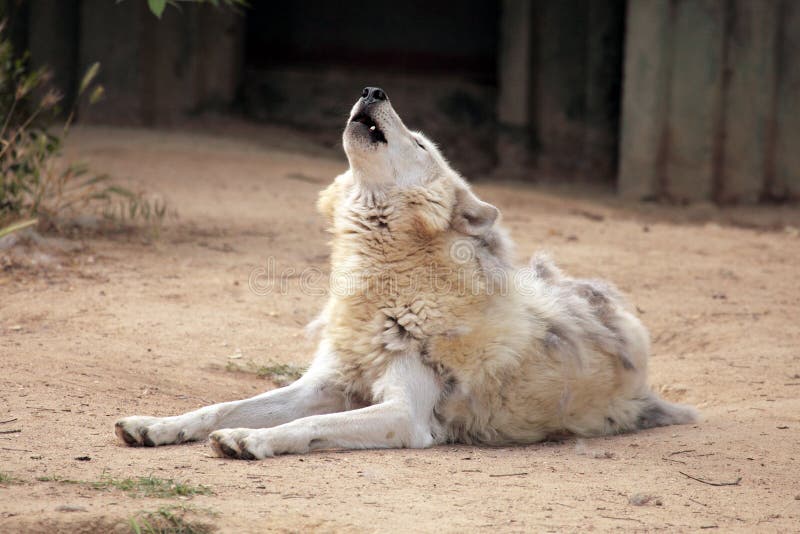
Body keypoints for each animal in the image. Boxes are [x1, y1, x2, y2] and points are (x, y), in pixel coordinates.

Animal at [115, 87, 697, 459]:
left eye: (419, 144)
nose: (373, 88)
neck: (384, 292)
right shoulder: (324, 383)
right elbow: (221, 405)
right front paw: (157, 426)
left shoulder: (404, 415)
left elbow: (309, 423)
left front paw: (252, 440)